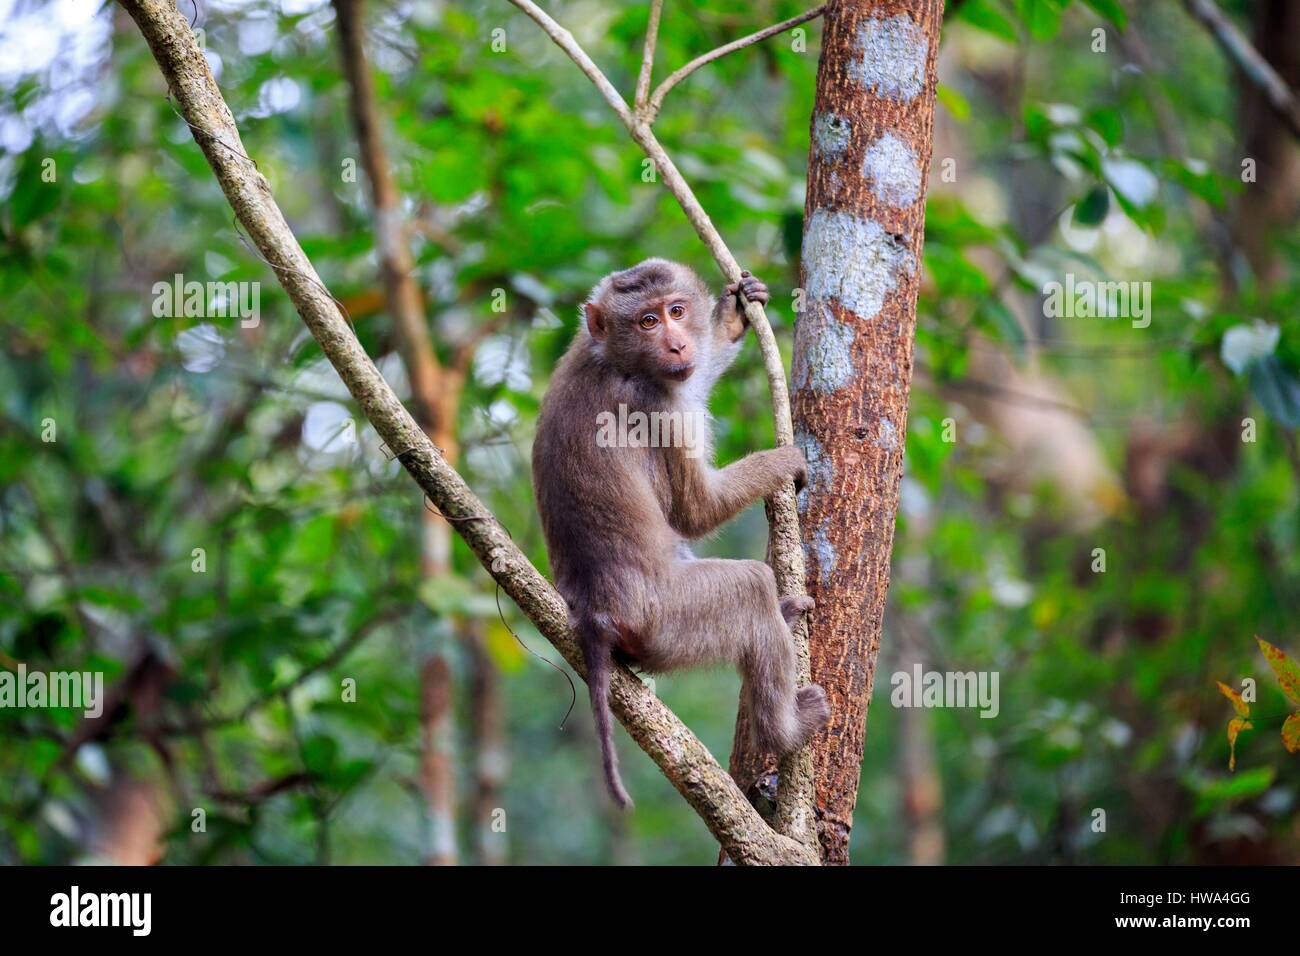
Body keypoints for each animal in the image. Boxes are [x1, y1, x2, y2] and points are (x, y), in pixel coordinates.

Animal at [532, 258, 830, 807]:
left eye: (675, 311)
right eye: (647, 322)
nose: (677, 345)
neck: (617, 360)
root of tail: (594, 608)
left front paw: (733, 316)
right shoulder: (658, 407)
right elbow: (695, 510)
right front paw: (784, 461)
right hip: (667, 620)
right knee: (748, 587)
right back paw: (784, 732)